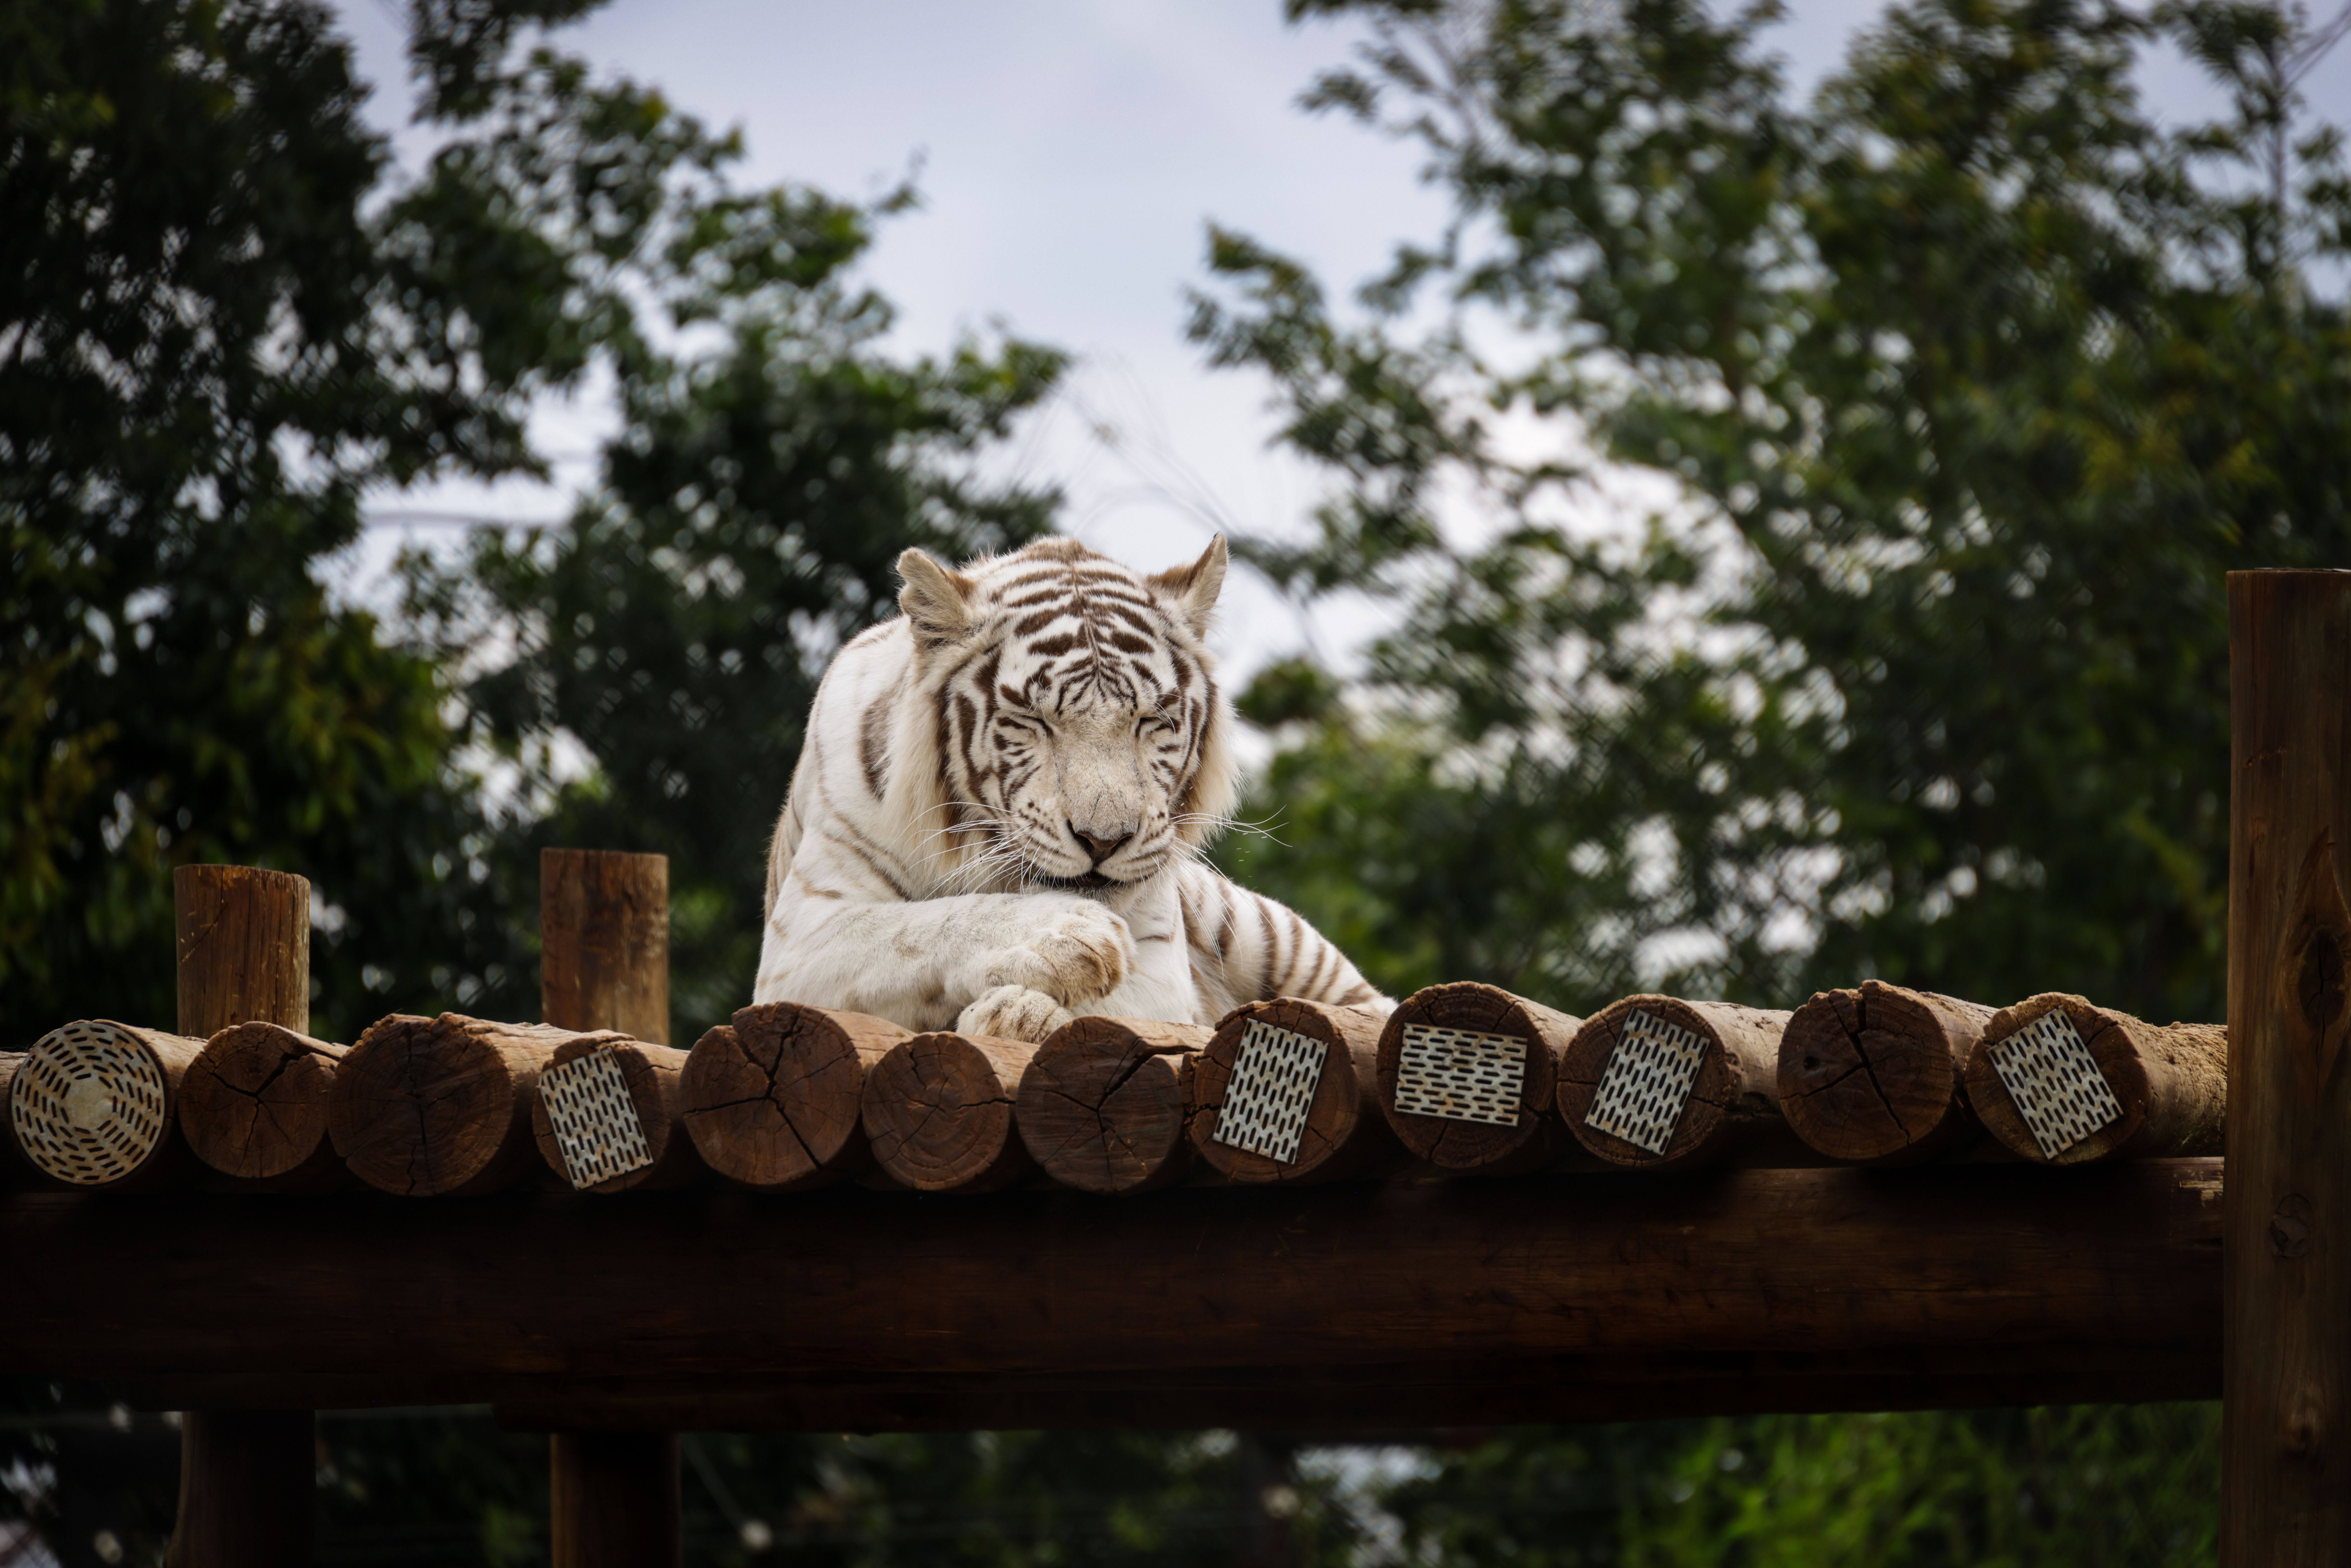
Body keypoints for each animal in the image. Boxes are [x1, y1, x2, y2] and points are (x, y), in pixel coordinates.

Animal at [752, 533, 1389, 1040]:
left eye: (1151, 719)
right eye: (1033, 721)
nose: (1104, 840)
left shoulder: (1164, 965)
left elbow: (1123, 1008)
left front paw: (1018, 1010)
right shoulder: (800, 939)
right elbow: (922, 926)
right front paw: (1065, 938)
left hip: (1255, 924)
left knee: (1369, 1005)